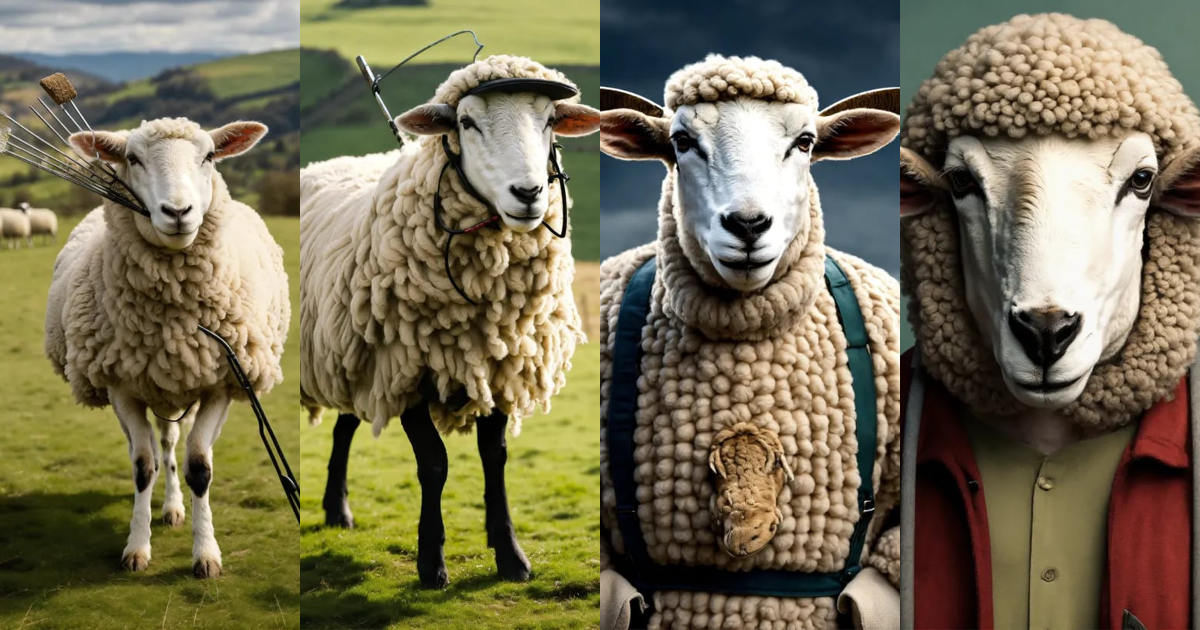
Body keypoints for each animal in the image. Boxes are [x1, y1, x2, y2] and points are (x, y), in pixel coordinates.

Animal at [44, 117, 289, 578]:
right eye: (132, 158)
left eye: (209, 155)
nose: (177, 212)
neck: (173, 325)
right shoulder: (121, 387)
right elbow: (143, 466)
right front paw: (136, 548)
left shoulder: (222, 383)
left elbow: (199, 466)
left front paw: (206, 553)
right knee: (156, 449)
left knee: (174, 442)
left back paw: (175, 507)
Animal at [300, 54, 600, 588]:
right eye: (466, 122)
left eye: (549, 119)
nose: (528, 193)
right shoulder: (405, 369)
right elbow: (434, 465)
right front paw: (431, 561)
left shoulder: (501, 363)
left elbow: (495, 458)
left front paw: (510, 554)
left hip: (350, 353)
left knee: (344, 426)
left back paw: (337, 509)